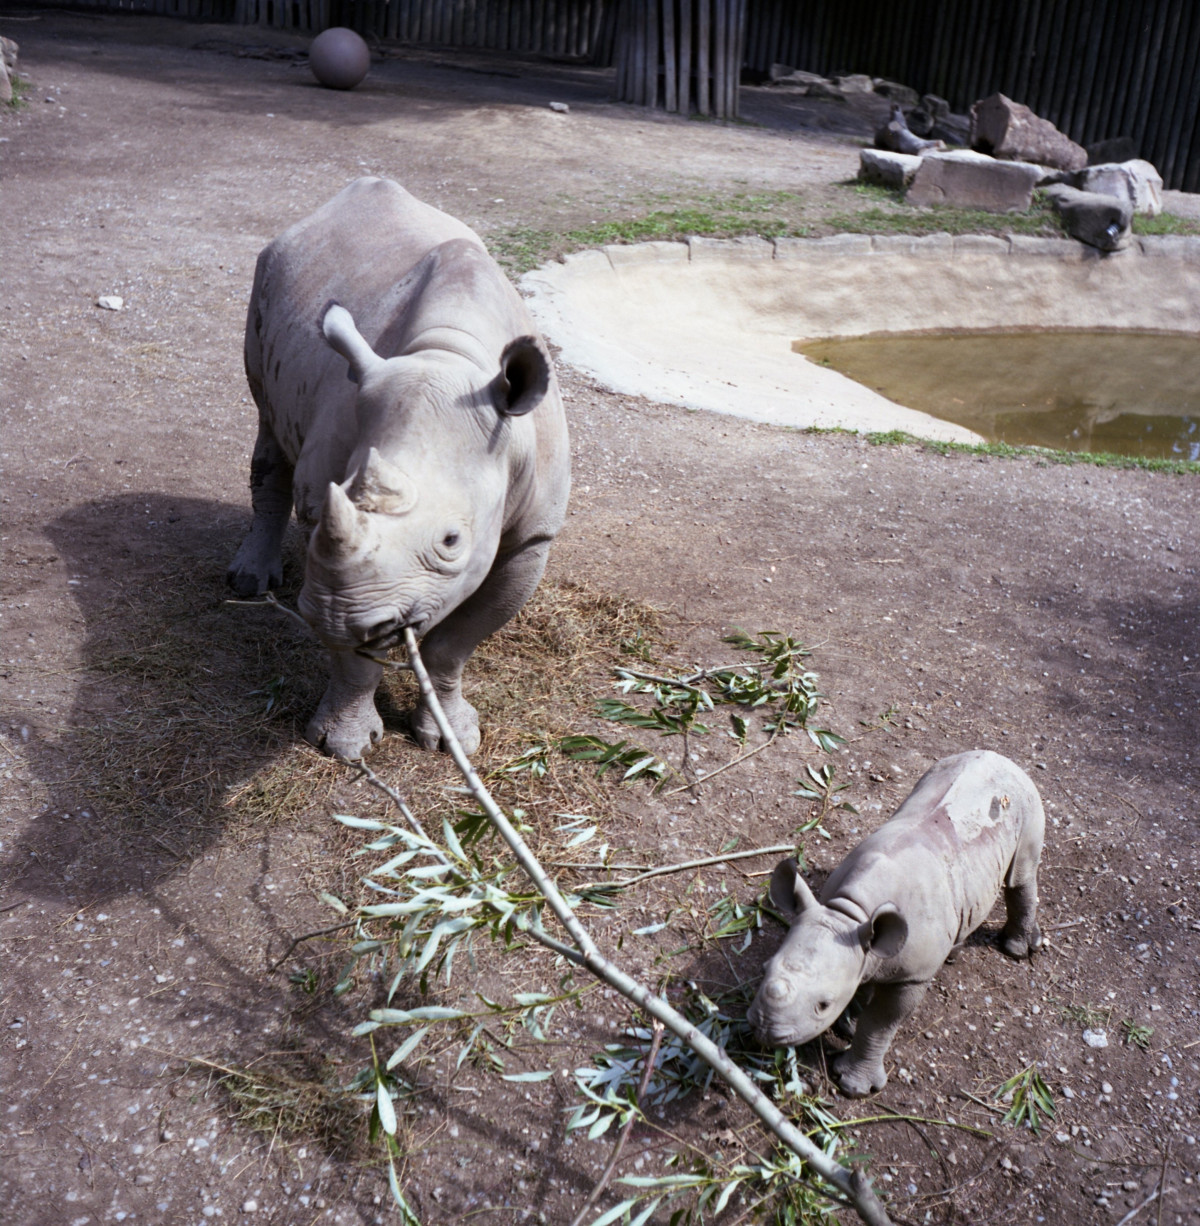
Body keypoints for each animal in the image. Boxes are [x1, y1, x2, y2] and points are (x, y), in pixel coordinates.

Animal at [227, 178, 570, 758]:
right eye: (322, 513)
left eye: (452, 541)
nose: (338, 614)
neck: (450, 357)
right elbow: (352, 656)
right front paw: (343, 744)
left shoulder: (533, 536)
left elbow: (455, 645)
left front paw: (453, 738)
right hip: (265, 283)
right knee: (267, 425)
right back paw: (248, 582)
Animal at [748, 750, 1043, 1097]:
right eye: (764, 968)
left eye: (823, 1004)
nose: (765, 1029)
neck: (852, 912)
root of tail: (1002, 759)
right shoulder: (859, 940)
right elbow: (861, 984)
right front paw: (850, 1022)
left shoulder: (913, 975)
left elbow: (881, 1022)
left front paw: (855, 1085)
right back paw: (956, 951)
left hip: (1026, 800)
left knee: (1021, 874)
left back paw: (1016, 950)